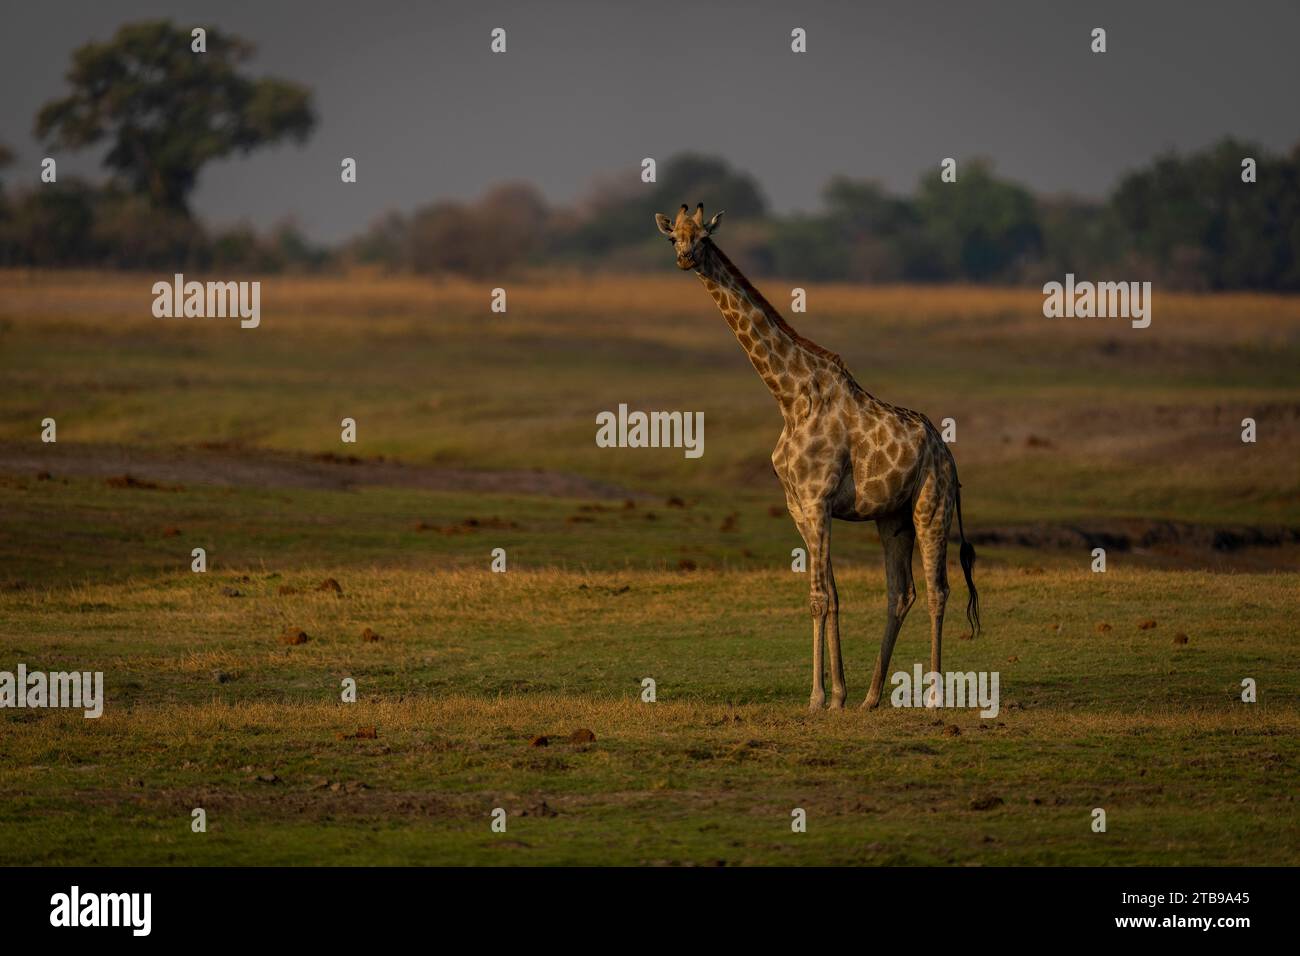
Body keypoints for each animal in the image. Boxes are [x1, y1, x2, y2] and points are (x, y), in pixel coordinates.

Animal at [654, 204, 980, 710]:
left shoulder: (817, 499)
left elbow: (823, 596)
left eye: (704, 237)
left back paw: (931, 694)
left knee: (937, 590)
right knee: (900, 592)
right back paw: (871, 696)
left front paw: (821, 697)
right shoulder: (799, 505)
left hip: (932, 505)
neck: (790, 398)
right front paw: (835, 695)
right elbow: (826, 595)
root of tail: (948, 455)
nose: (686, 258)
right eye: (675, 238)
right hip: (892, 516)